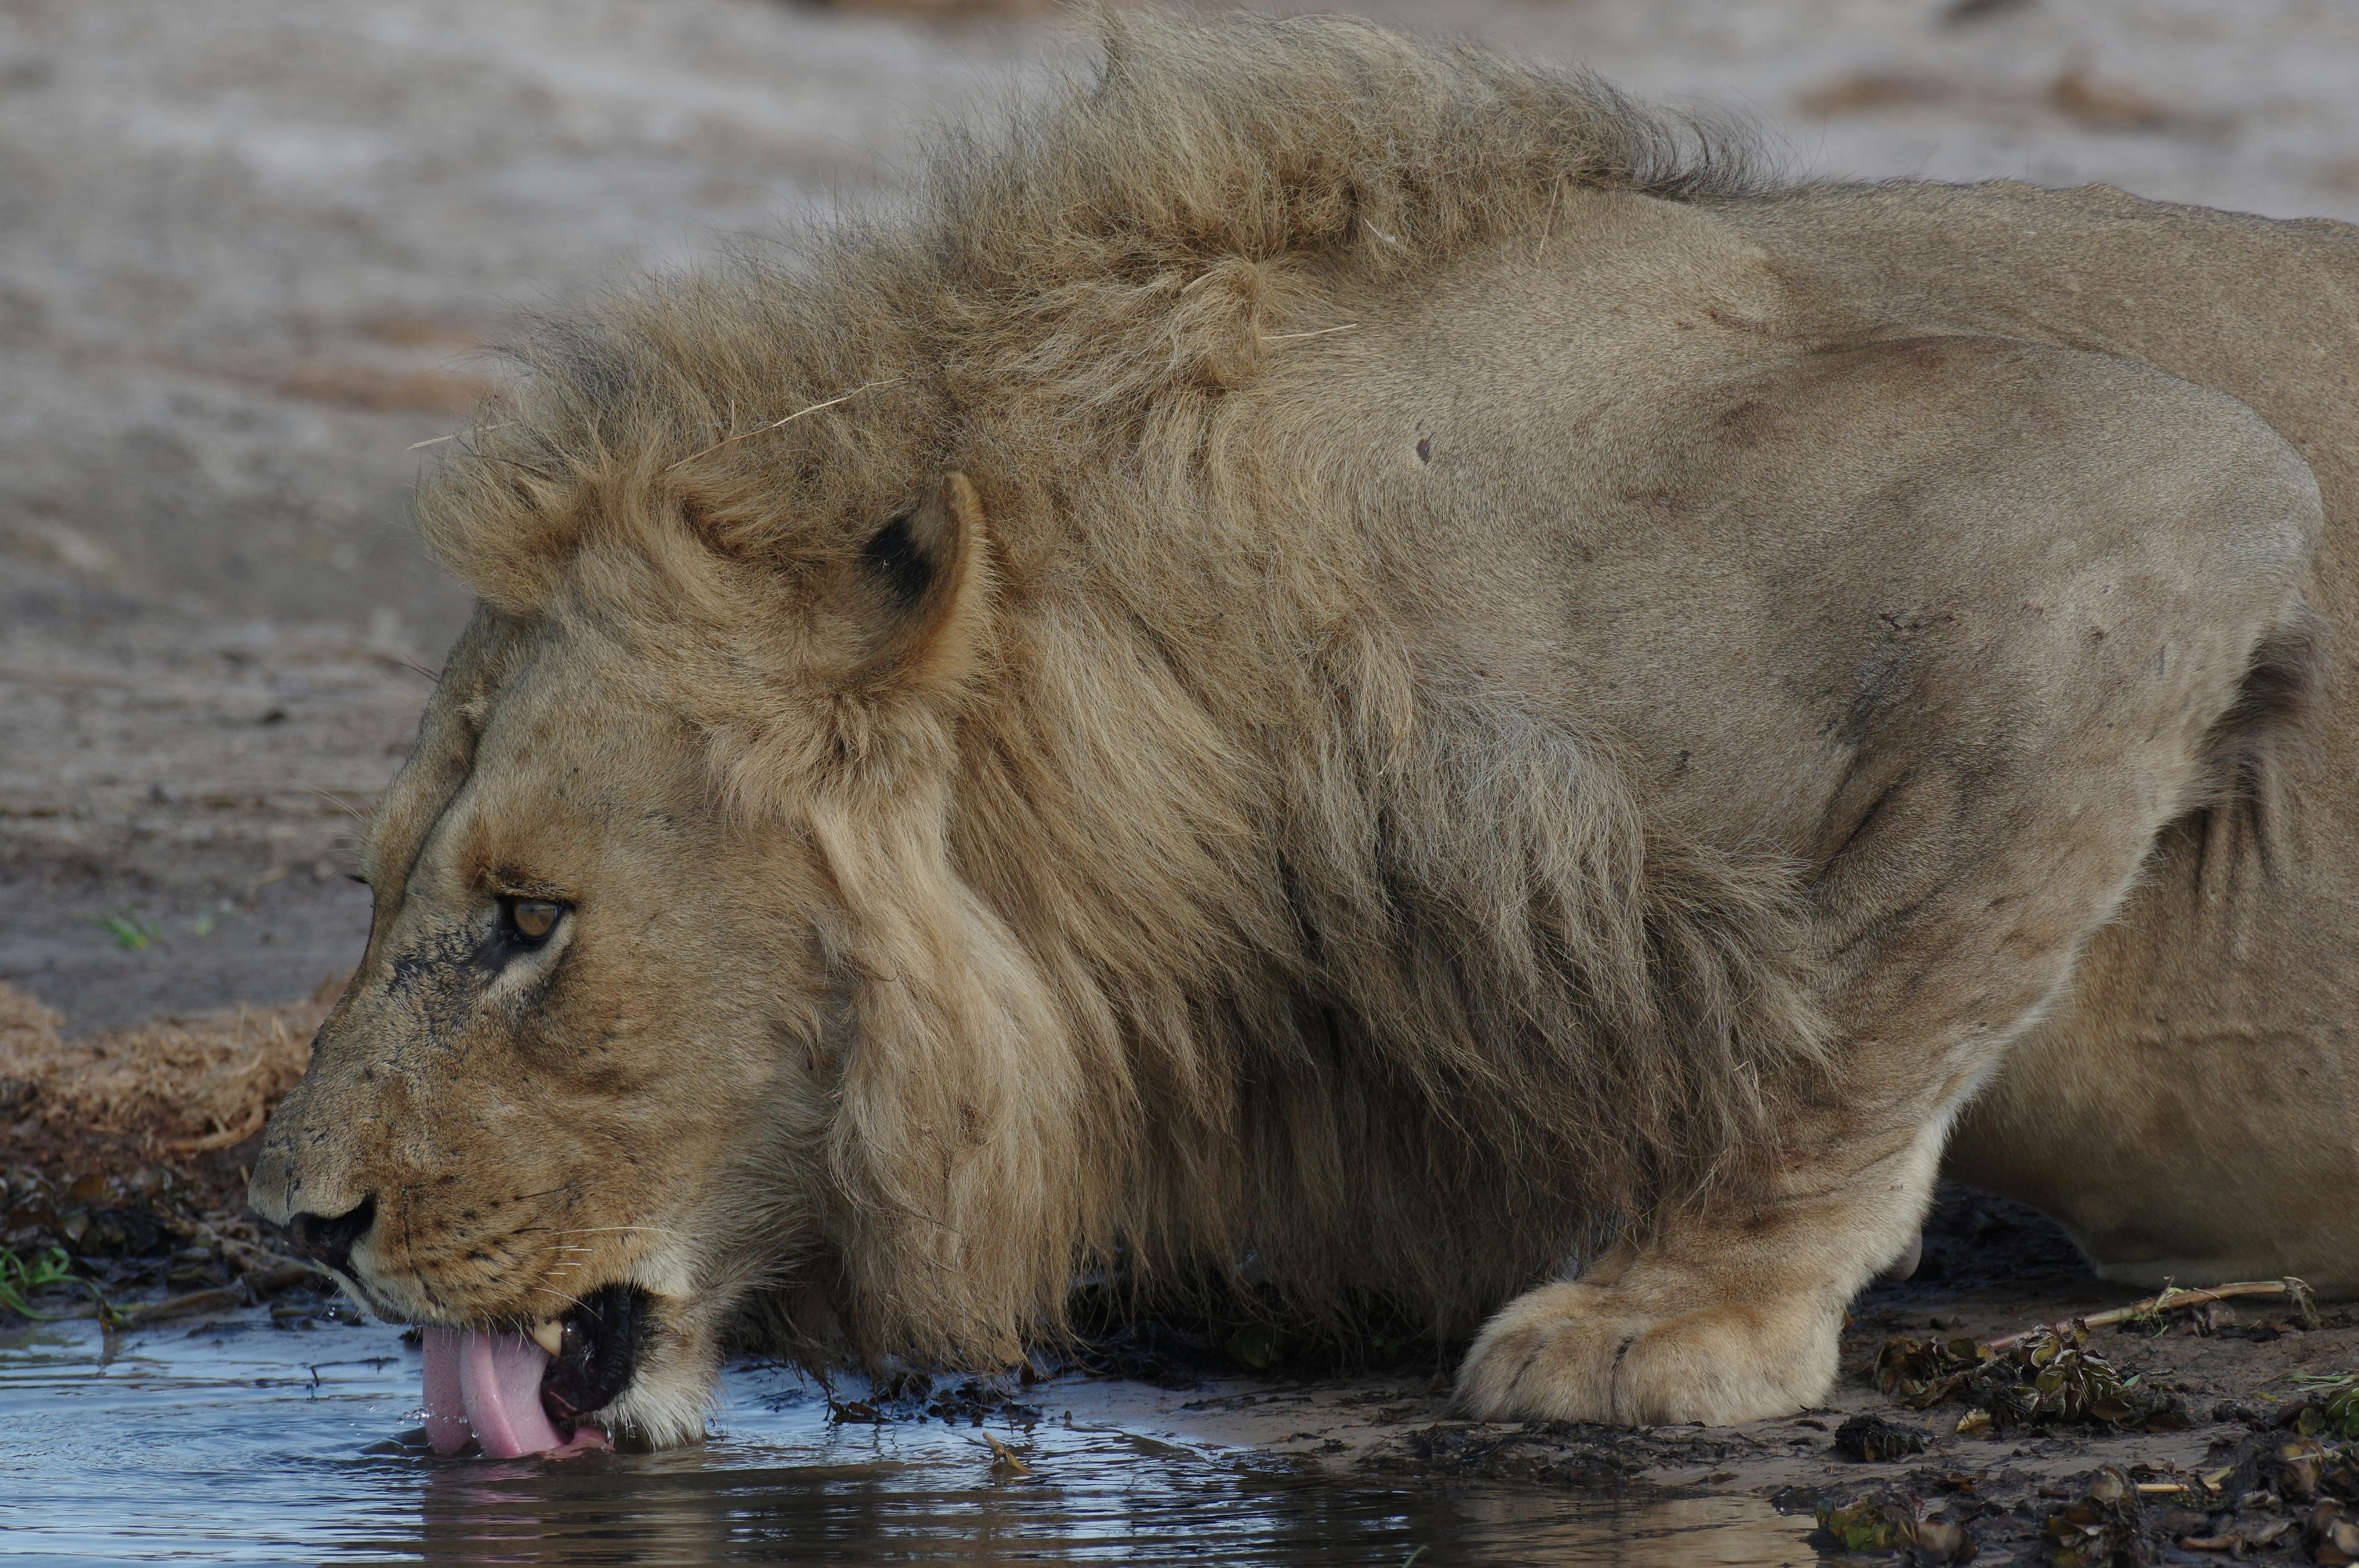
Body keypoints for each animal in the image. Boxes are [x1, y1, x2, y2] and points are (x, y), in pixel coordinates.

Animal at [249, 12, 2359, 1453]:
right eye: (377, 882)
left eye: (533, 919)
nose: (295, 1224)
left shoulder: (2148, 496)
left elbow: (1861, 997)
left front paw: (1673, 1313)